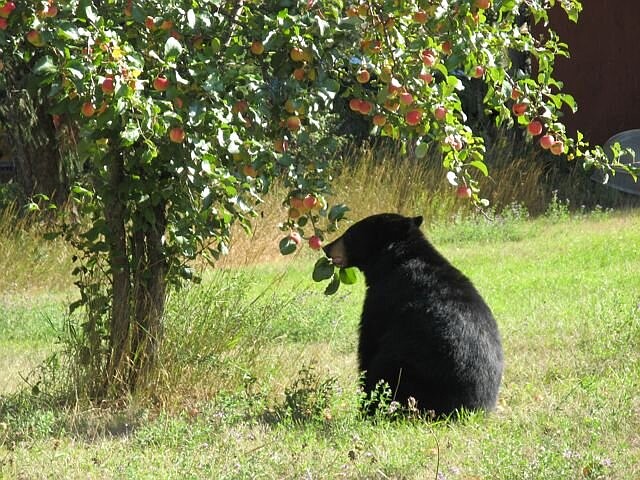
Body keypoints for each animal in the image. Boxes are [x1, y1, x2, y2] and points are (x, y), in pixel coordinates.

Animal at [322, 213, 503, 418]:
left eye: (350, 234)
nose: (325, 247)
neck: (396, 259)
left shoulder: (382, 300)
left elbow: (368, 345)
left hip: (405, 364)